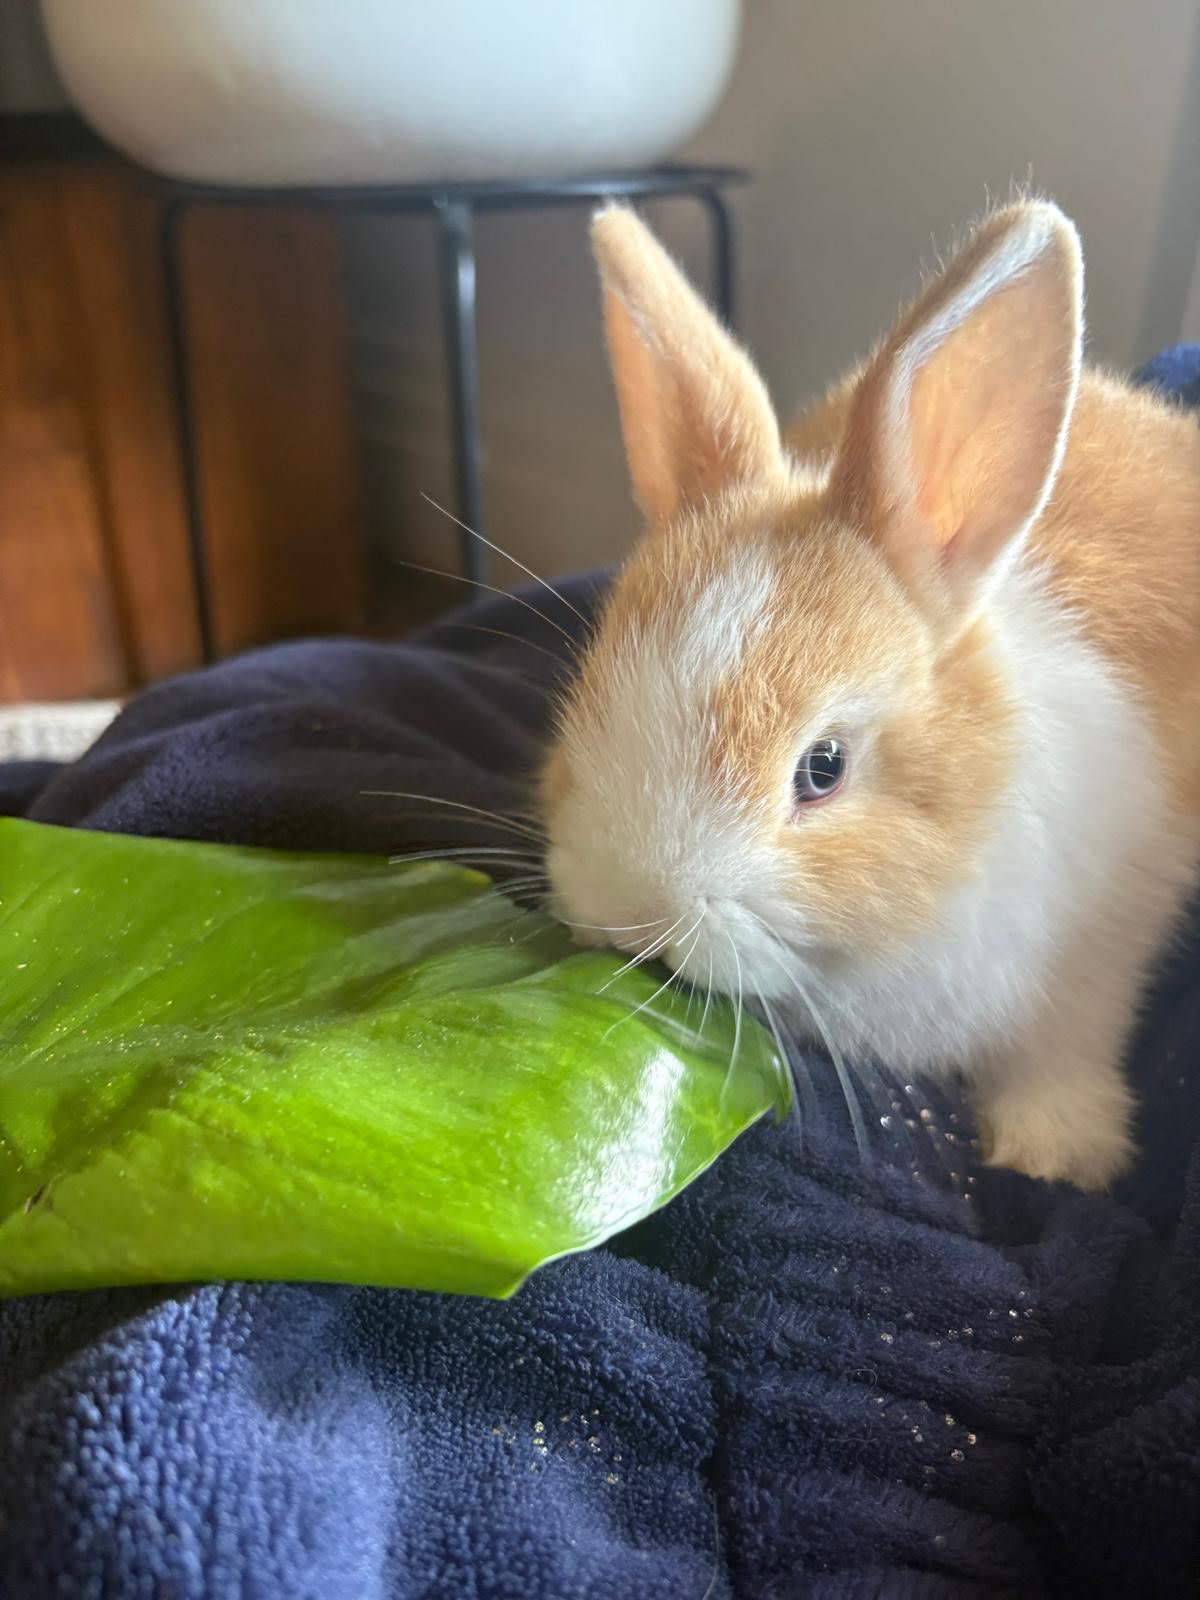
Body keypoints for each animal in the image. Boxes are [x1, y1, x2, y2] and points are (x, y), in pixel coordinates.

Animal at [540, 198, 1200, 1191]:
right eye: (587, 694)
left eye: (824, 768)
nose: (629, 914)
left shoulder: (1106, 941)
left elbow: (1067, 1044)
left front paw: (1057, 1153)